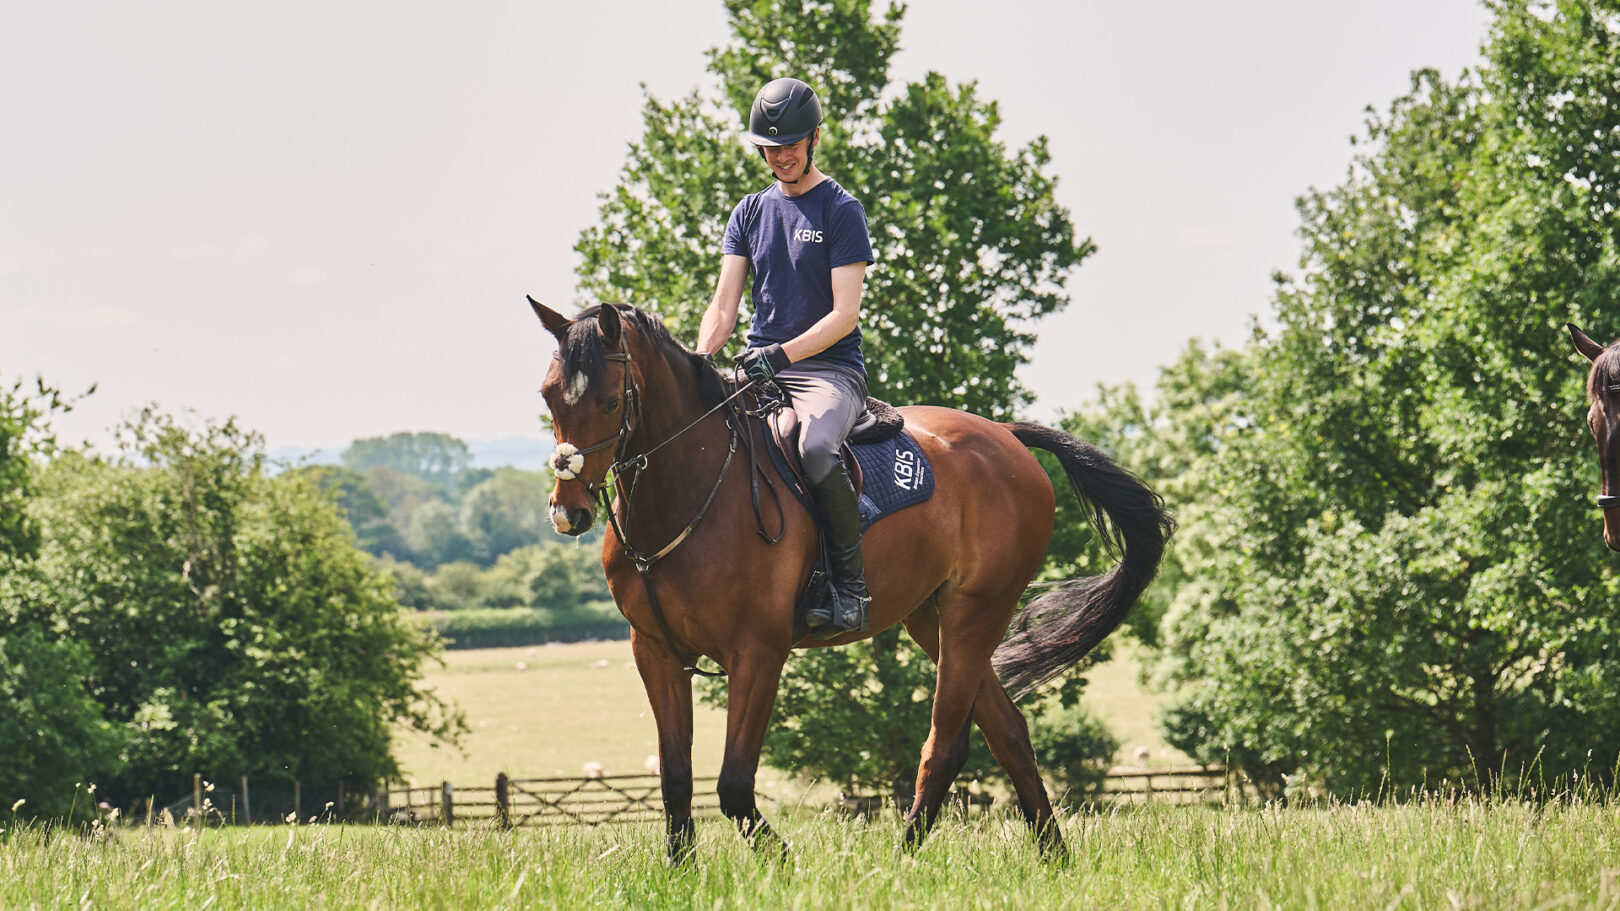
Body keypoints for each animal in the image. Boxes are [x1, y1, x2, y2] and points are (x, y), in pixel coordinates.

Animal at [529, 298, 1174, 862]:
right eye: (549, 396)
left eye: (610, 401)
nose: (569, 512)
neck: (688, 493)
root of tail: (1005, 436)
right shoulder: (656, 652)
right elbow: (675, 780)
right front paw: (681, 873)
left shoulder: (757, 652)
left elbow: (734, 784)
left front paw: (783, 865)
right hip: (931, 620)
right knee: (1008, 731)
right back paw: (1054, 857)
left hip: (975, 612)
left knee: (947, 745)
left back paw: (900, 860)